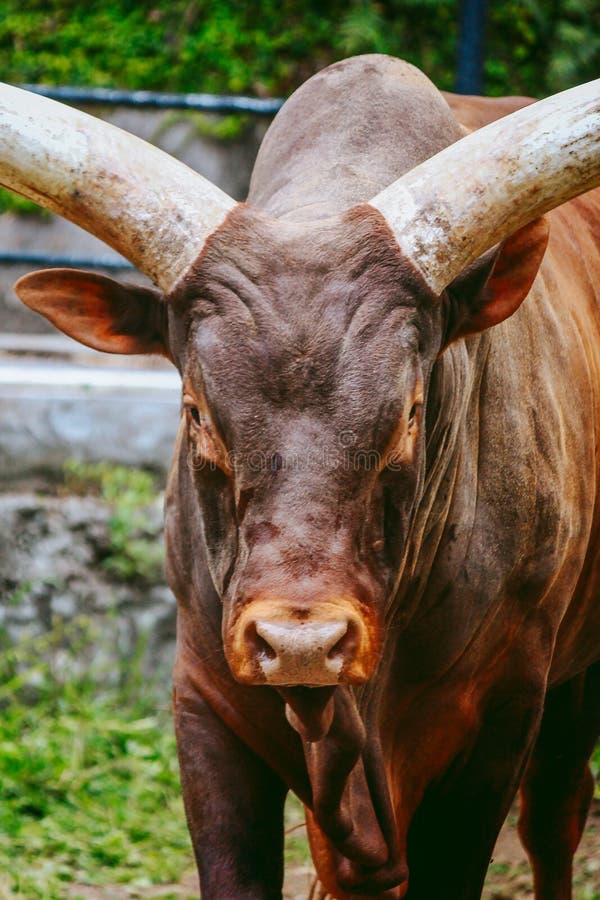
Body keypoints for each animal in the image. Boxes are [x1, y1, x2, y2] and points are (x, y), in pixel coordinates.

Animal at [1, 53, 600, 899]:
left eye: (411, 411)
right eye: (195, 411)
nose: (302, 644)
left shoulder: (502, 714)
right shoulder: (205, 704)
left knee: (556, 814)